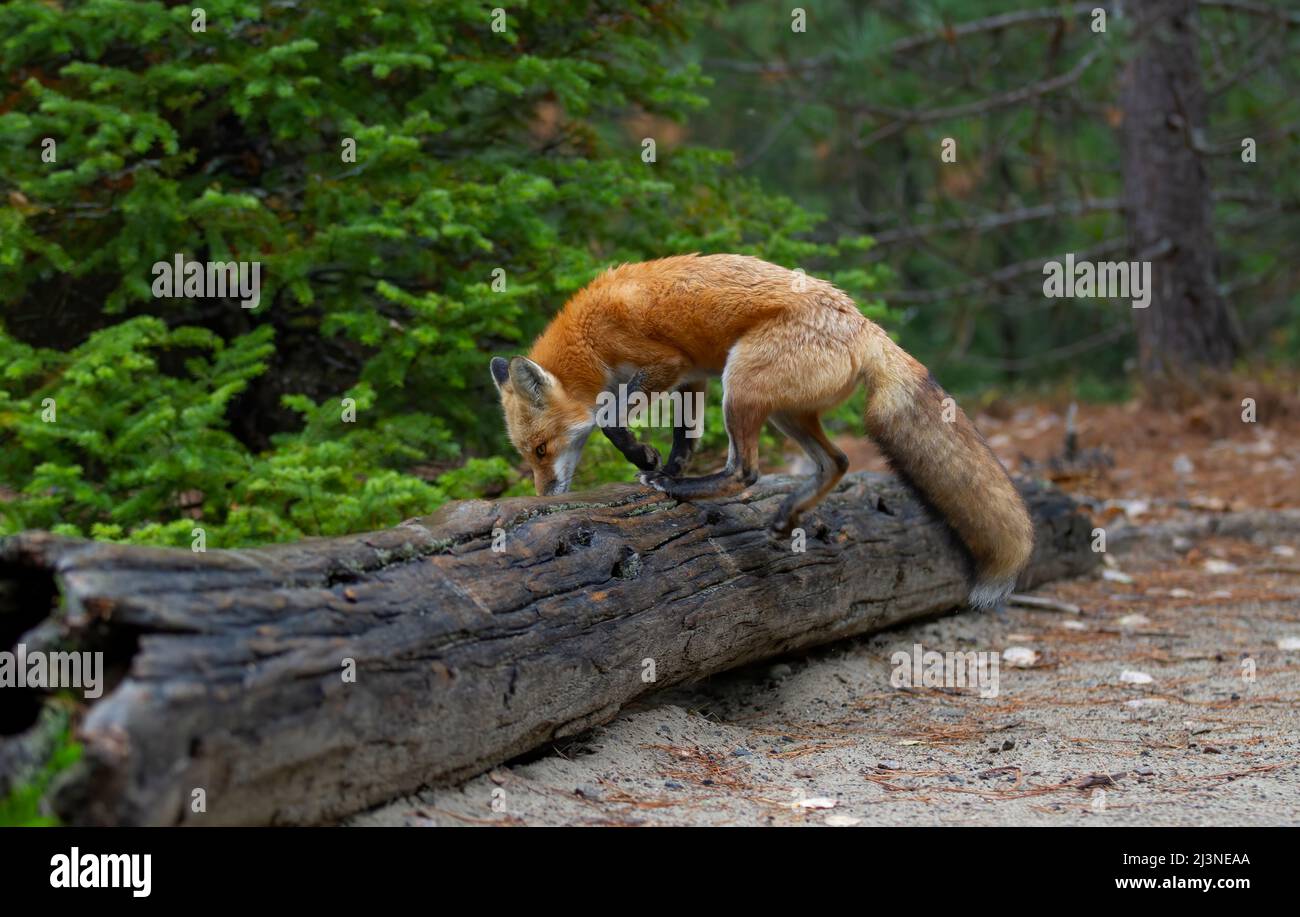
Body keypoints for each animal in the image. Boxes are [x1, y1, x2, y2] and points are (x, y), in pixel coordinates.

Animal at [490, 254, 1035, 610]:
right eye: (528, 455)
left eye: (541, 449)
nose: (545, 494)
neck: (590, 338)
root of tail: (864, 324)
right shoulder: (691, 378)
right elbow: (684, 438)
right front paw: (666, 466)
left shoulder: (666, 364)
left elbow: (609, 418)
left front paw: (648, 462)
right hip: (782, 412)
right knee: (836, 461)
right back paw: (785, 512)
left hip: (741, 386)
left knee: (744, 472)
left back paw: (687, 490)